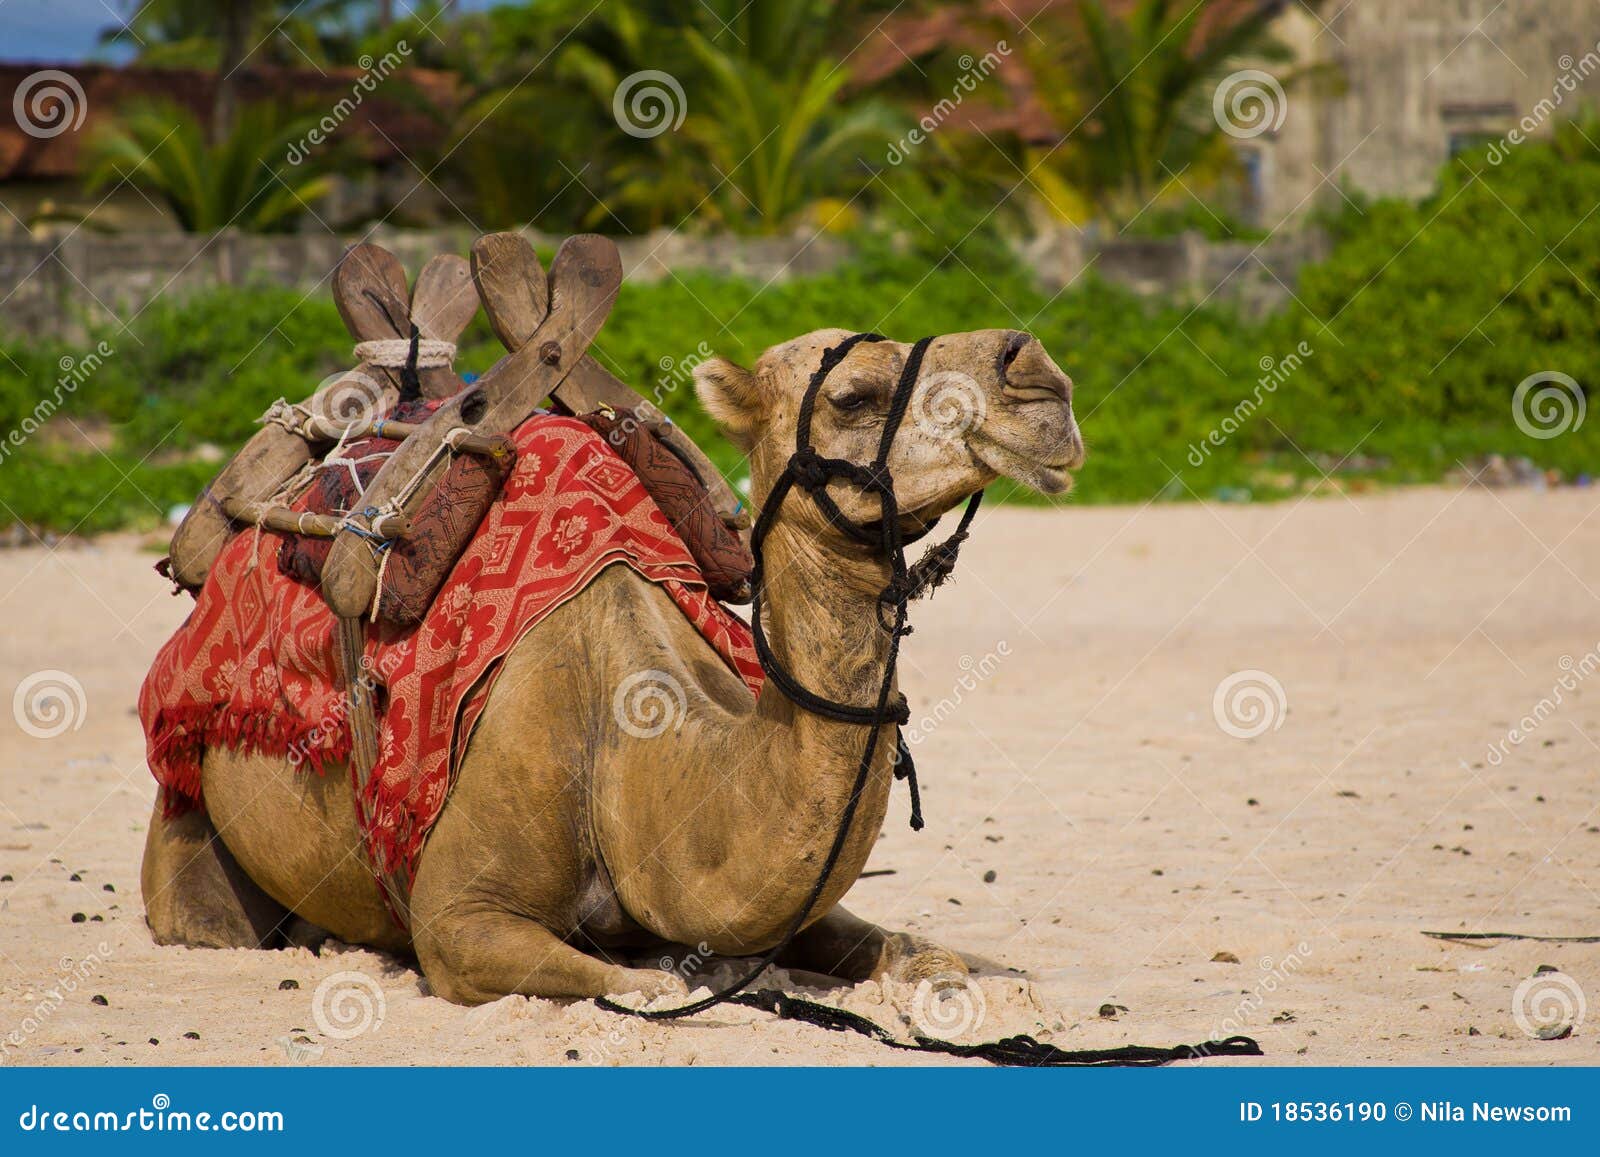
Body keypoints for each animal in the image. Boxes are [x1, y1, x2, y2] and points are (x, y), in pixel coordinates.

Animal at [140, 326, 1084, 1005]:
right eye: (854, 394)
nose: (1038, 373)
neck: (637, 754)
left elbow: (915, 954)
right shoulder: (458, 914)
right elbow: (638, 985)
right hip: (190, 819)